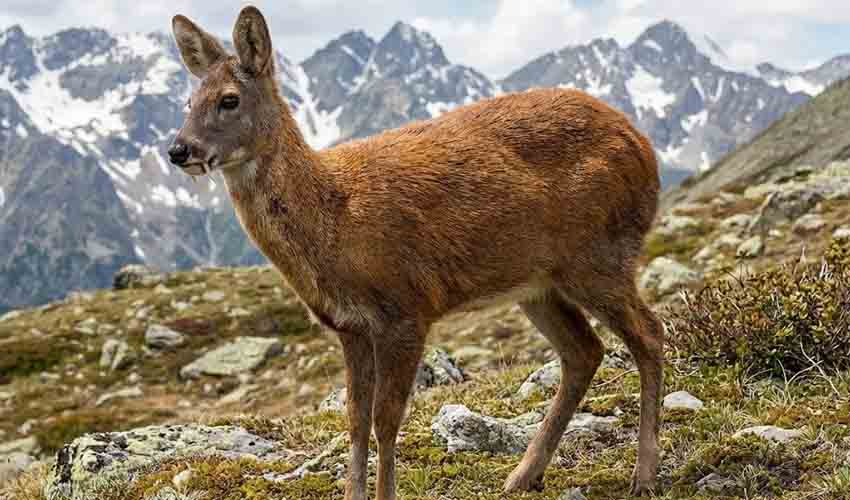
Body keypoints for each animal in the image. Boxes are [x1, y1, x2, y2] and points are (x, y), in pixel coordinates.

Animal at [169, 6, 664, 499]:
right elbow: (355, 421)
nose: (178, 149)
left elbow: (386, 421)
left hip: (598, 255)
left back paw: (644, 475)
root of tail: (644, 147)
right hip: (537, 284)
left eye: (229, 99)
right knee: (585, 351)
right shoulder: (349, 327)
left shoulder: (406, 310)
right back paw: (523, 475)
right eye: (189, 102)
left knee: (649, 333)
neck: (334, 220)